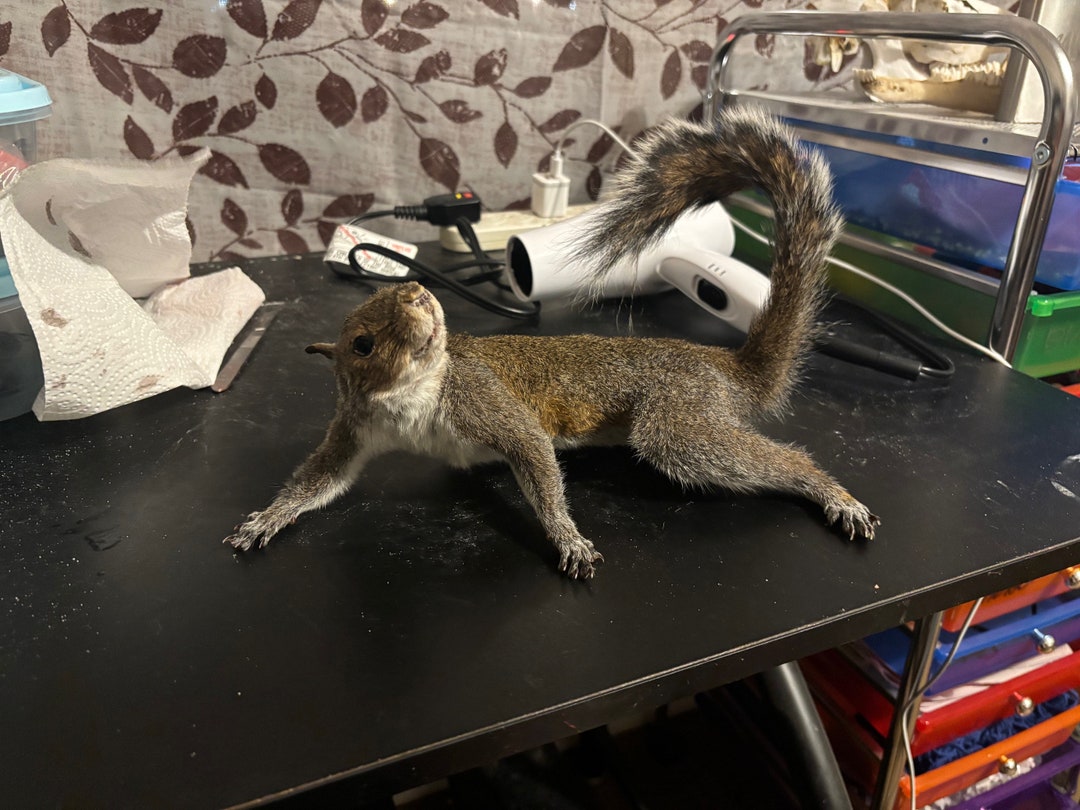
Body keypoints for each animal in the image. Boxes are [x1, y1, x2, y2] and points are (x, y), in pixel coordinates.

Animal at [225, 106, 879, 578]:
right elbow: (318, 480)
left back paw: (832, 493)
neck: (415, 393)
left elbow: (536, 457)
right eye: (361, 343)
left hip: (680, 418)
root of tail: (721, 362)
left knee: (774, 457)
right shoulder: (354, 430)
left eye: (401, 288)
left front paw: (569, 539)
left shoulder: (482, 401)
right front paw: (265, 520)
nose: (416, 291)